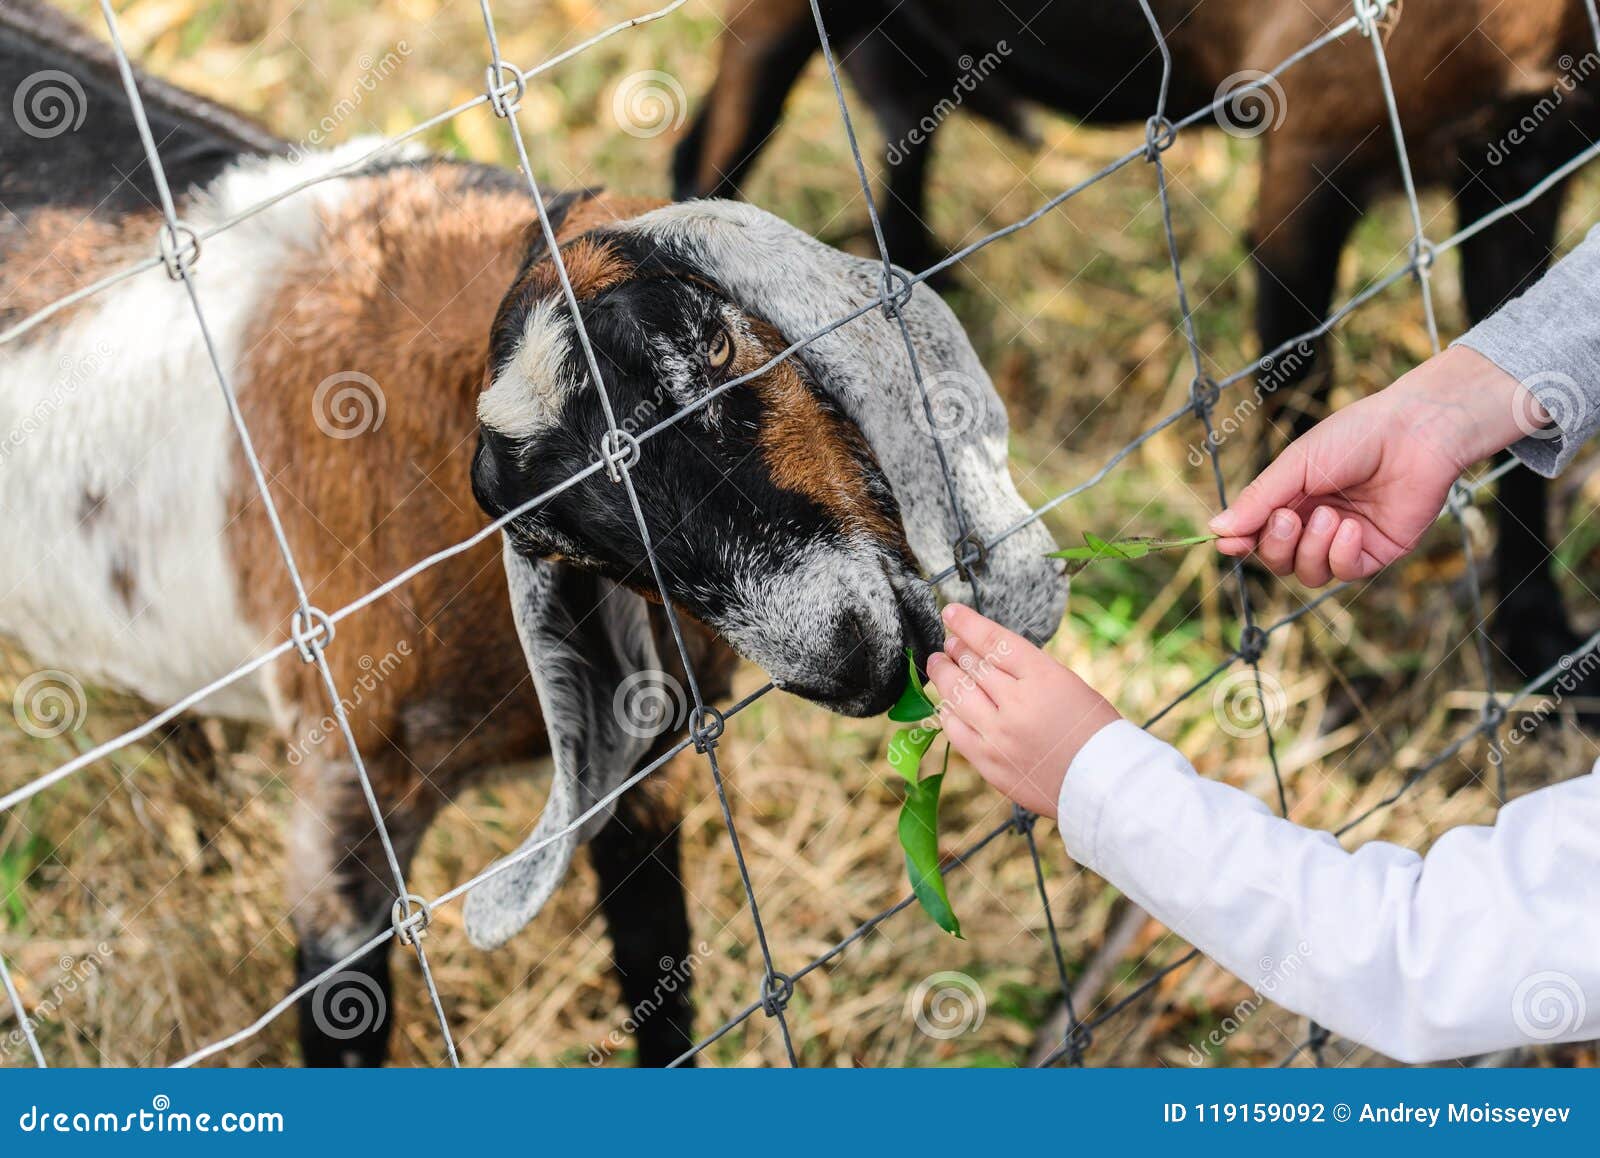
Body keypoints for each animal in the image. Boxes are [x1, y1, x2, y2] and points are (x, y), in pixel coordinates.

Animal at [0, 1, 1065, 1065]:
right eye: (574, 544)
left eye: (715, 345)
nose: (851, 660)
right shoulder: (344, 808)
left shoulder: (652, 766)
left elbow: (655, 977)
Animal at [676, 0, 1600, 706]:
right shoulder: (1309, 141)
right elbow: (1300, 387)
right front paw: (1278, 639)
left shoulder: (1527, 161)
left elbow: (1524, 402)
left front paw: (1544, 646)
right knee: (705, 160)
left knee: (900, 156)